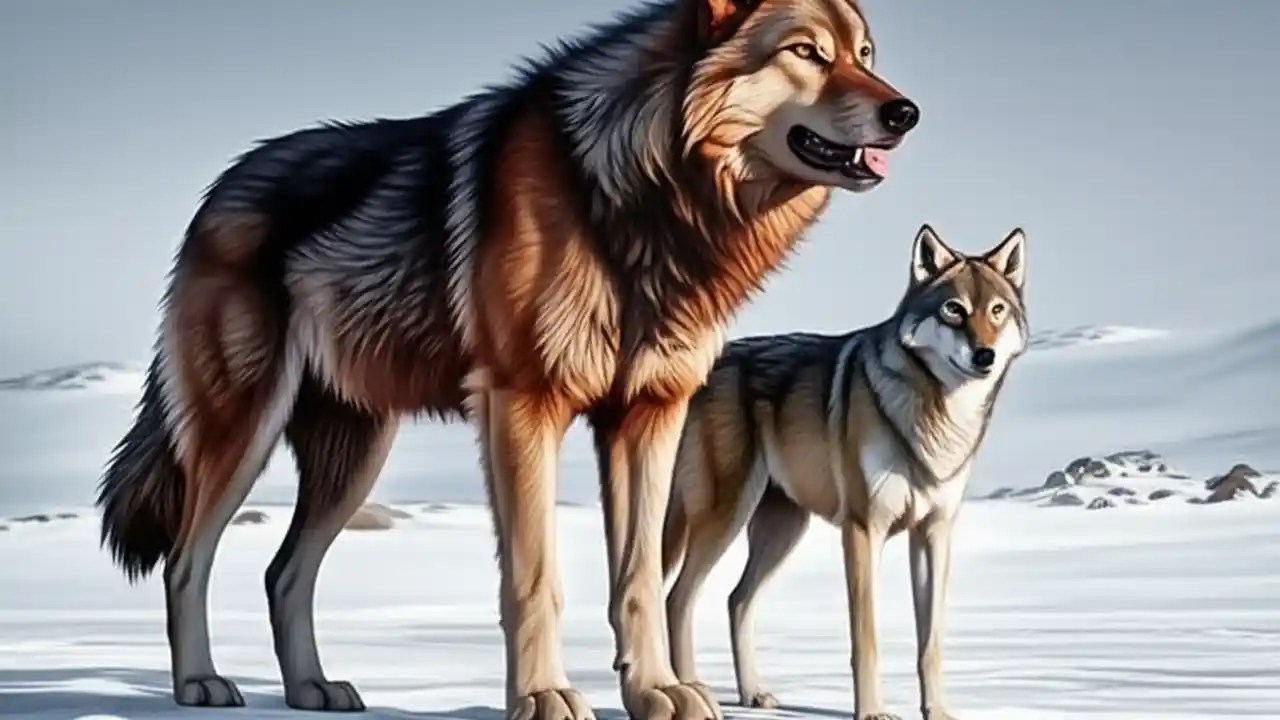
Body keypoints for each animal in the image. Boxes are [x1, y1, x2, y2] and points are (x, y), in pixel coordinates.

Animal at [94, 0, 919, 717]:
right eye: (807, 52)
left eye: (866, 55)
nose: (905, 113)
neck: (649, 201)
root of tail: (221, 187)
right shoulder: (524, 404)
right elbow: (535, 578)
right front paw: (544, 697)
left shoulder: (648, 415)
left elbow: (640, 581)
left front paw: (656, 693)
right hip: (244, 432)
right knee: (186, 560)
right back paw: (199, 682)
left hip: (355, 458)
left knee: (284, 573)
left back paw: (313, 691)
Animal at [662, 225, 1028, 720]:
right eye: (954, 309)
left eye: (997, 311)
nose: (985, 355)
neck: (938, 416)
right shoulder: (862, 529)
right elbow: (866, 637)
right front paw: (872, 711)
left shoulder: (933, 533)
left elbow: (930, 642)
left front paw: (937, 711)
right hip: (725, 518)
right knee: (678, 598)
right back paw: (693, 691)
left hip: (782, 531)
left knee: (736, 600)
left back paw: (753, 693)